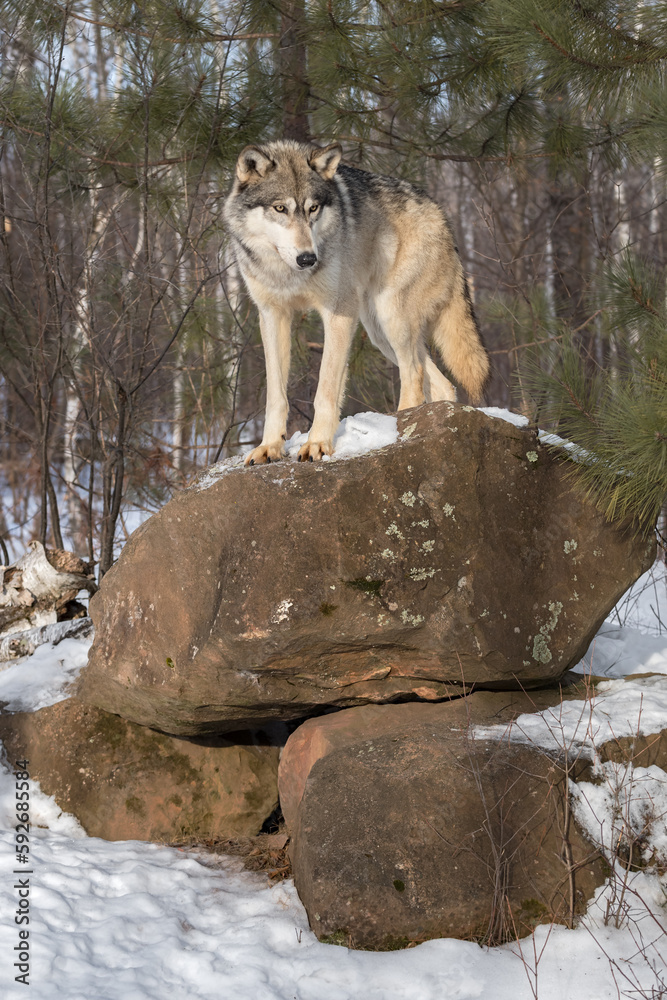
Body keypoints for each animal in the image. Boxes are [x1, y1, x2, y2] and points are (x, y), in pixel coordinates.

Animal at [223, 139, 489, 464]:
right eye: (280, 208)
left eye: (313, 208)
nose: (308, 258)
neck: (288, 274)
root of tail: (440, 212)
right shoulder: (272, 316)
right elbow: (276, 396)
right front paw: (269, 447)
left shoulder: (339, 314)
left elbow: (325, 390)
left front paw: (317, 444)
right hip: (379, 333)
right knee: (441, 383)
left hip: (391, 318)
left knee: (413, 373)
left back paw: (399, 428)